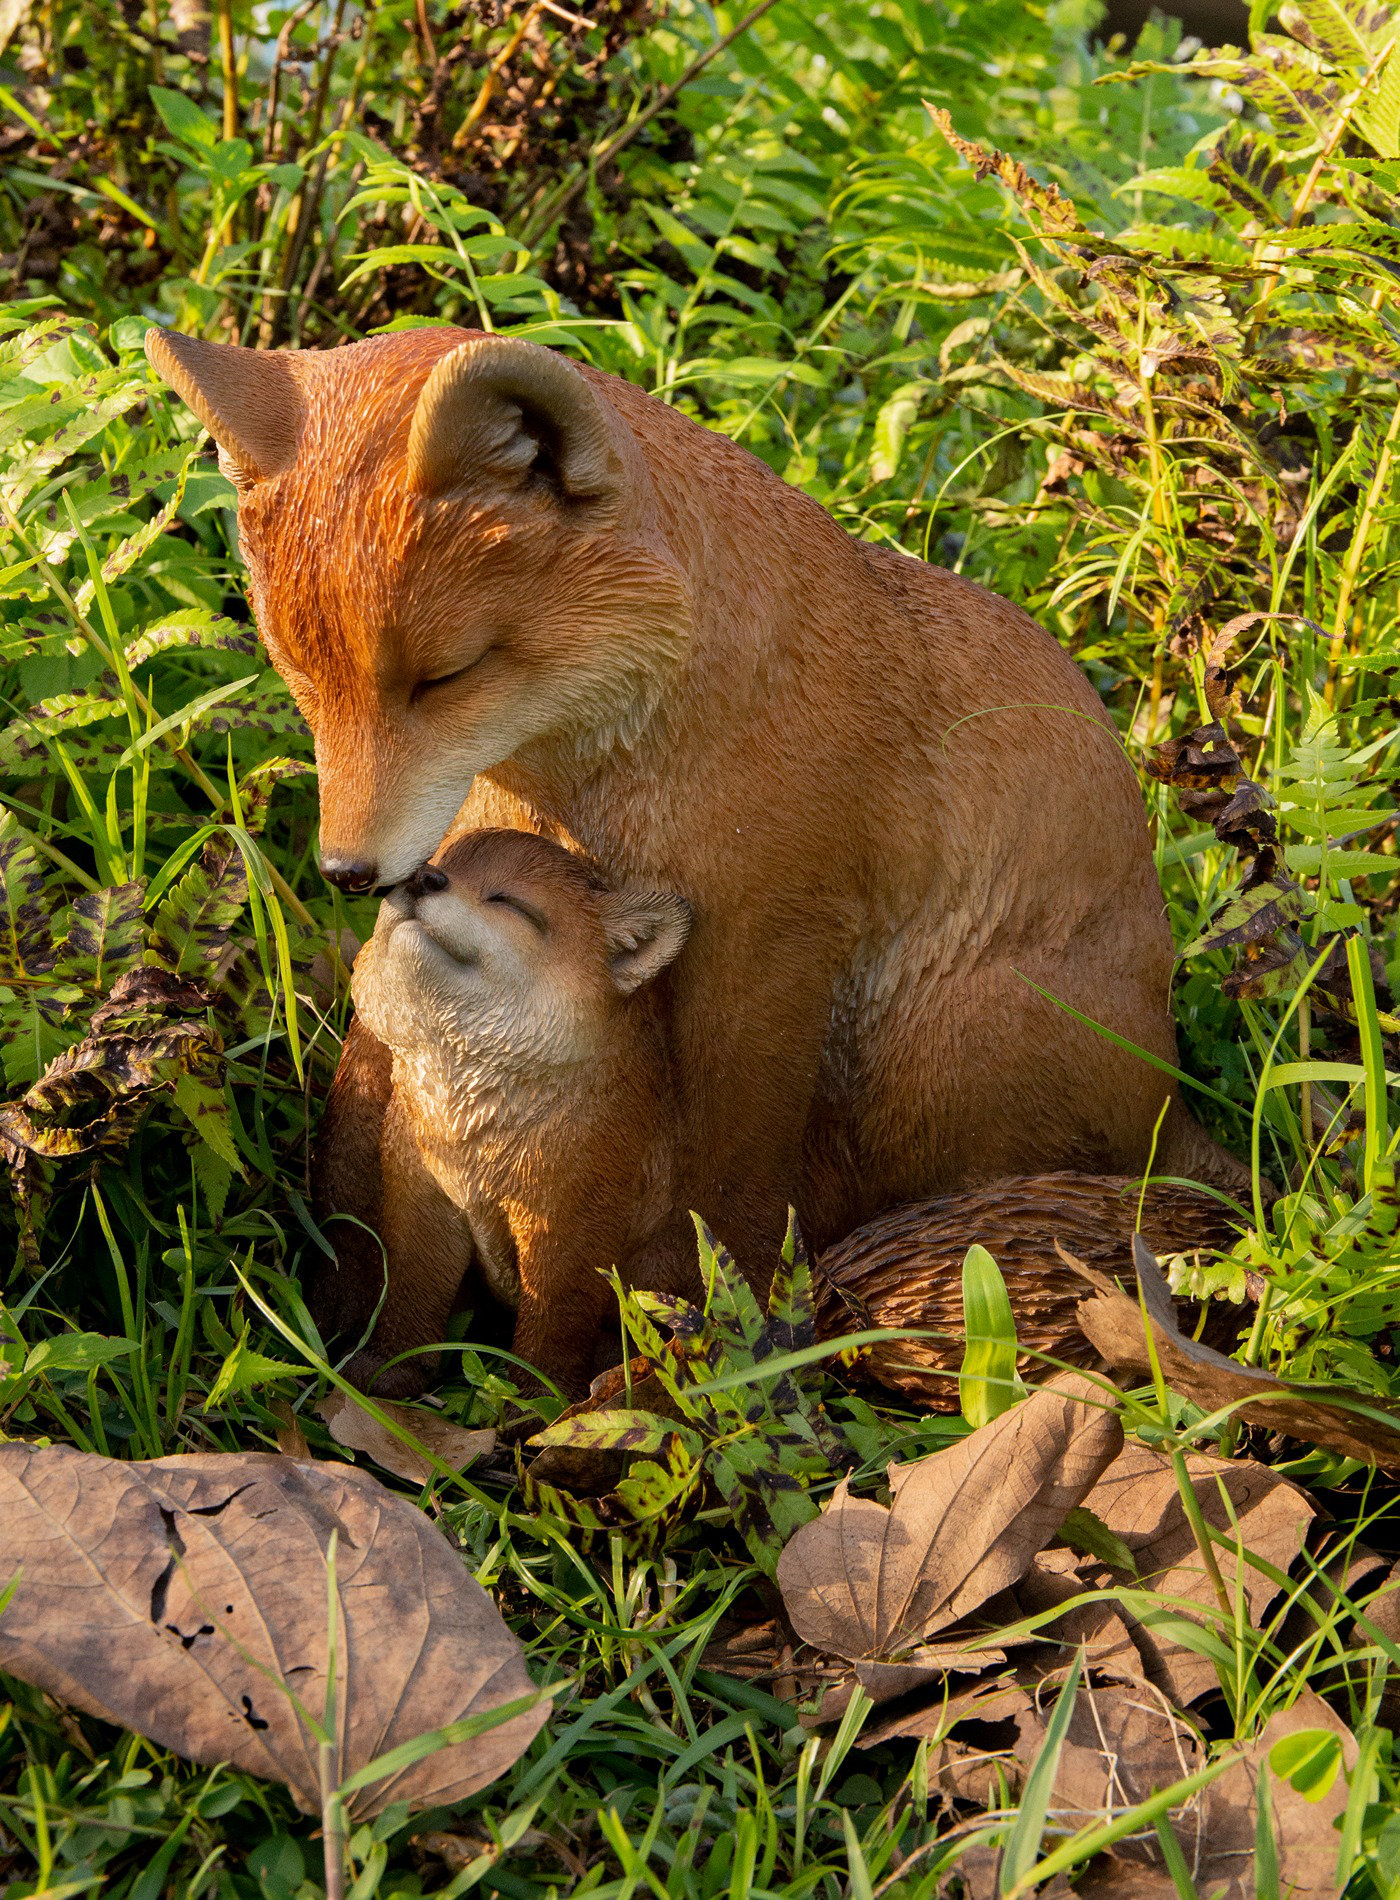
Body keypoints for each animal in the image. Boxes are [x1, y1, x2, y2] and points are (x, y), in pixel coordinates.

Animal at [146, 321, 1246, 1334]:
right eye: (301, 679)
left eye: (443, 678)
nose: (346, 869)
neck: (611, 784)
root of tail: (1171, 1086)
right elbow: (358, 1125)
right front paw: (342, 1321)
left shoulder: (770, 943)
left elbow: (732, 1188)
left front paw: (717, 1342)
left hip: (943, 1045)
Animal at [327, 828, 694, 1399]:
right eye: (436, 860)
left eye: (508, 902)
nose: (423, 878)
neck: (471, 1146)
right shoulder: (421, 1196)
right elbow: (411, 1292)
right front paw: (393, 1368)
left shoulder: (568, 1225)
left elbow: (554, 1327)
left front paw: (537, 1402)